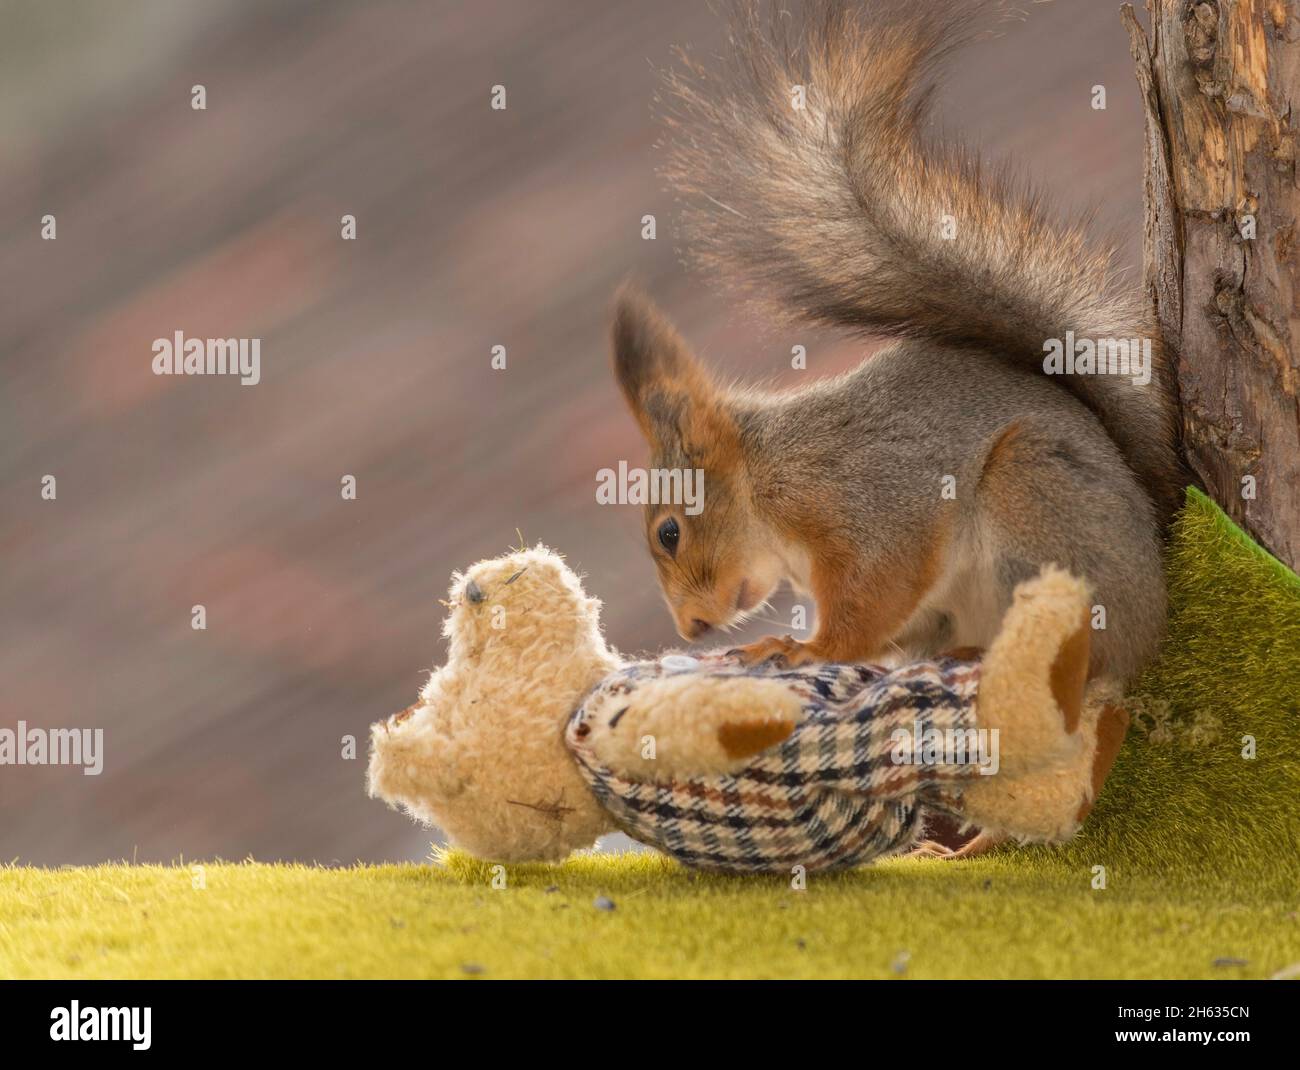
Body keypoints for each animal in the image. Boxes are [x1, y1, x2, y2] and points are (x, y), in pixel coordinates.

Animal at [610, 0, 1184, 689]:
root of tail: (1155, 595)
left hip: (1034, 494)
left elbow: (876, 588)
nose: (690, 628)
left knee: (1091, 649)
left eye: (669, 532)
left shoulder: (865, 498)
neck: (763, 478)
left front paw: (805, 650)